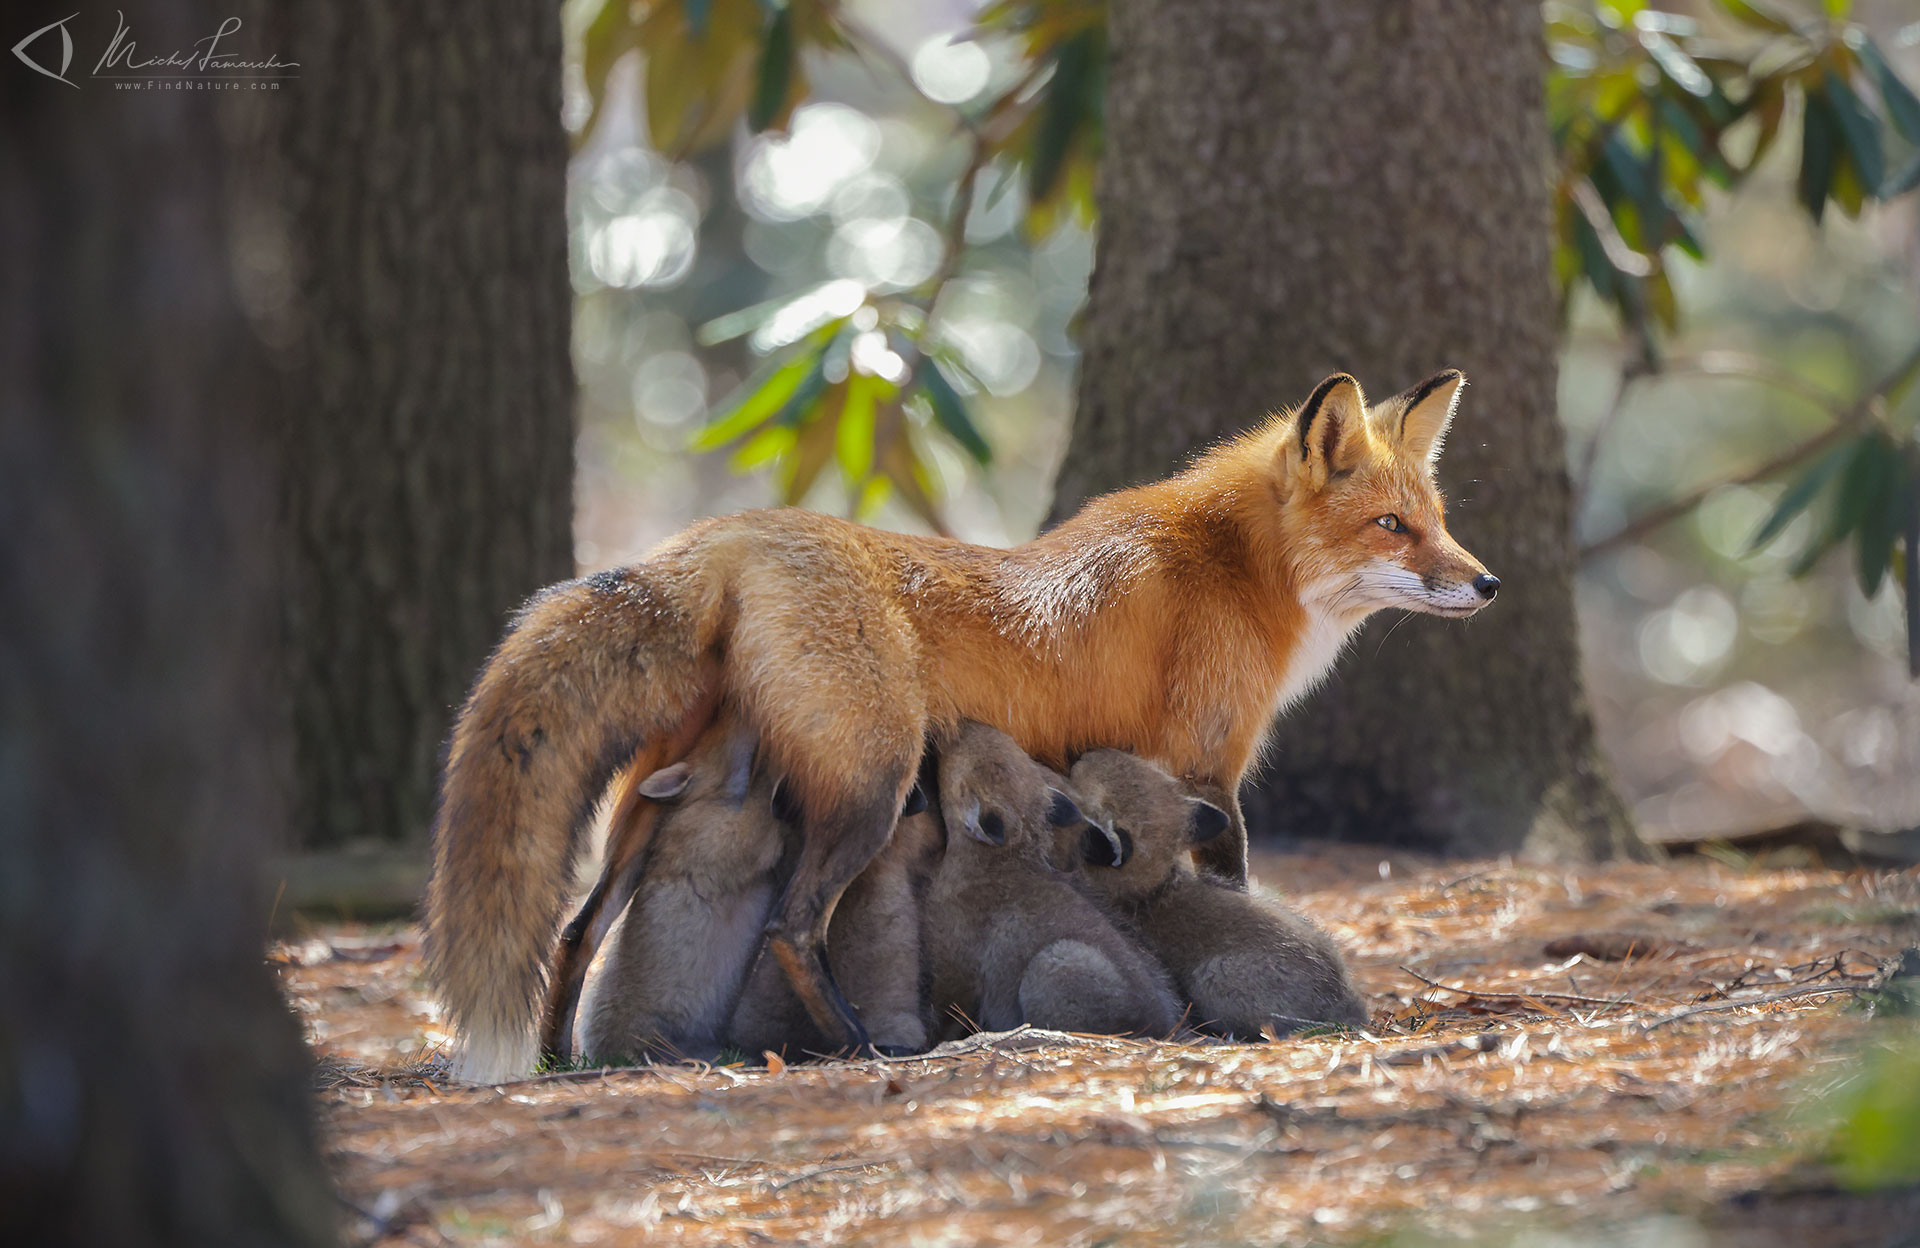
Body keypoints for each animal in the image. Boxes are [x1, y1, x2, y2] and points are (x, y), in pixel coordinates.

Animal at [923, 721, 1182, 1041]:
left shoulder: (952, 967)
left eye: (963, 770)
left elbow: (946, 1016)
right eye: (1013, 747)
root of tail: (1162, 1029)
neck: (1002, 863)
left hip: (1054, 962)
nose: (964, 725)